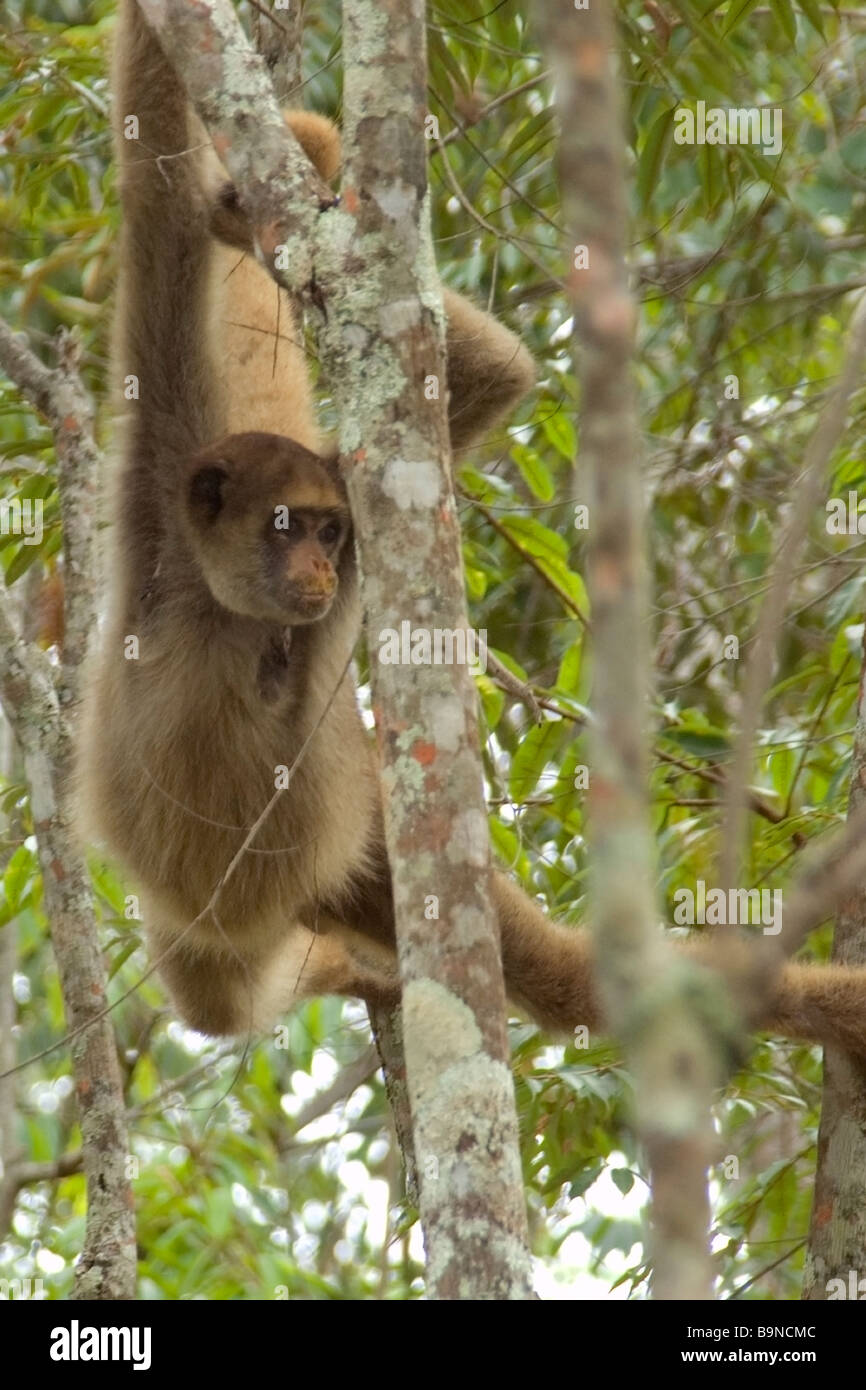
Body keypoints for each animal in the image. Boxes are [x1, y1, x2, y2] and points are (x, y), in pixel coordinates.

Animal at [78, 0, 866, 1061]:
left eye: (330, 534)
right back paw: (336, 971)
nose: (318, 574)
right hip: (235, 906)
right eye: (286, 527)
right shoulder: (158, 493)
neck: (230, 614)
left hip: (361, 850)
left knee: (562, 982)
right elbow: (154, 191)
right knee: (218, 1002)